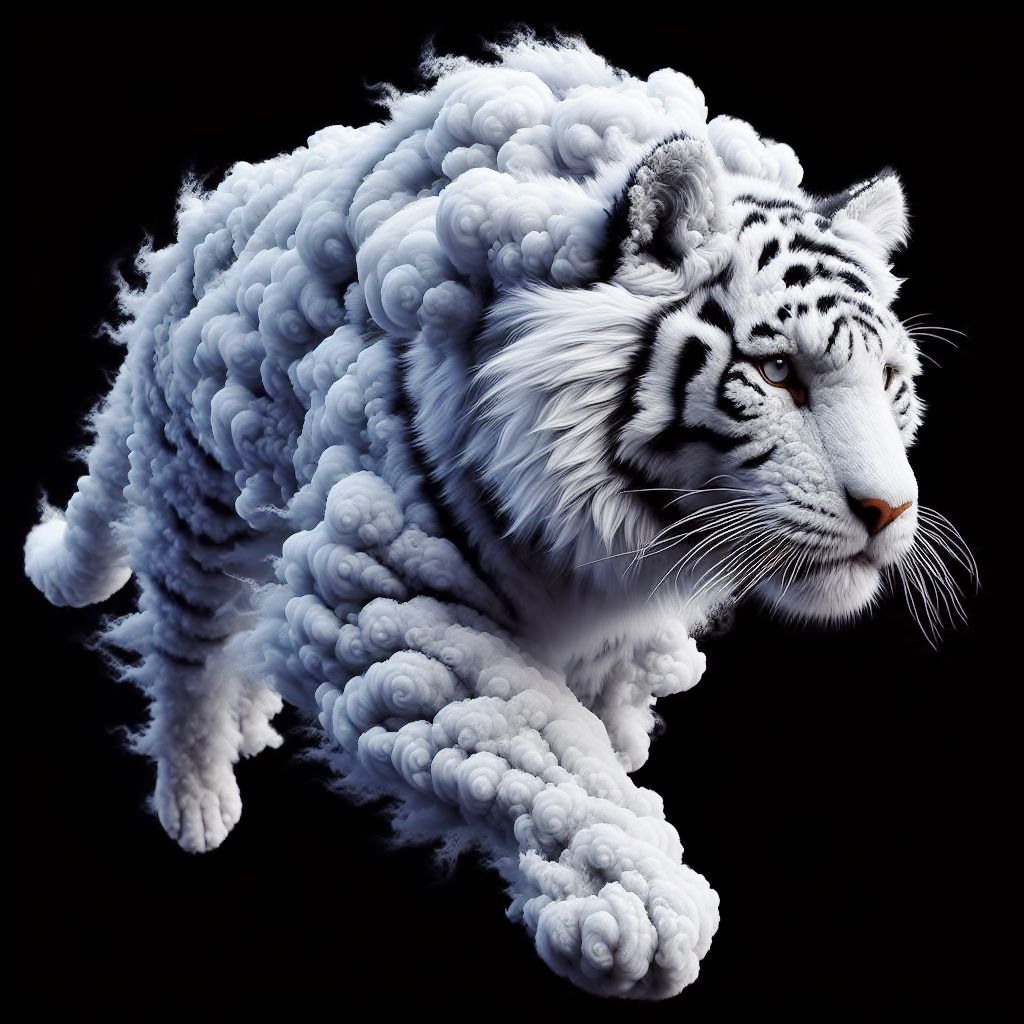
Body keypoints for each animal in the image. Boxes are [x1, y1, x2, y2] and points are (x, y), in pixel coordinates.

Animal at [23, 33, 971, 999]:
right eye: (779, 374)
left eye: (889, 382)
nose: (892, 510)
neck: (609, 525)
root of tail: (205, 220)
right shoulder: (383, 596)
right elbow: (529, 746)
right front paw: (633, 912)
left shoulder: (614, 633)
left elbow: (599, 724)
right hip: (198, 498)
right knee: (189, 651)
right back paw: (197, 799)